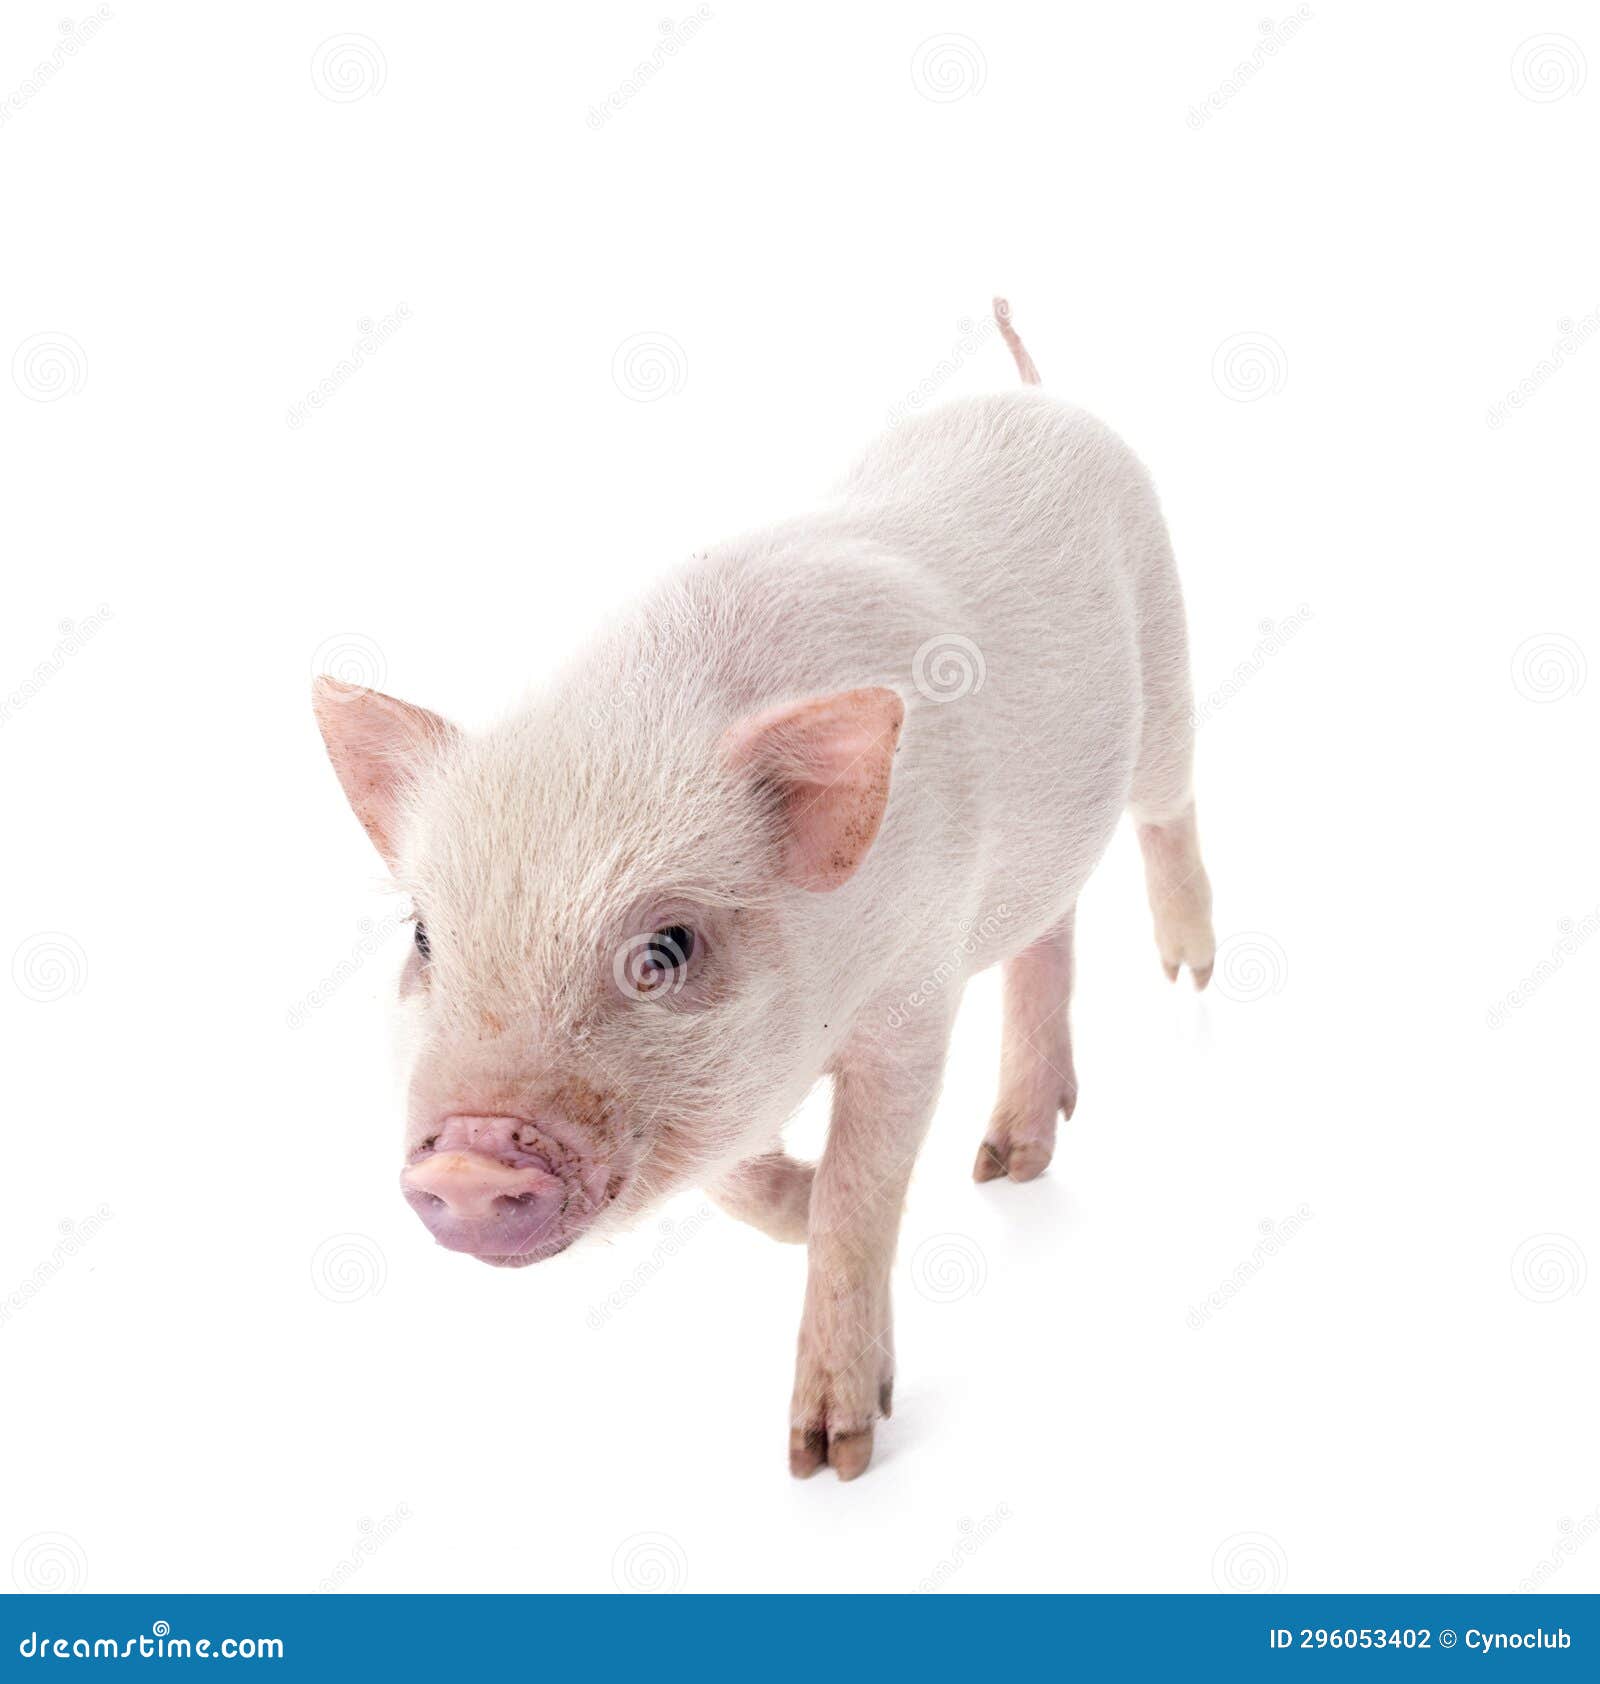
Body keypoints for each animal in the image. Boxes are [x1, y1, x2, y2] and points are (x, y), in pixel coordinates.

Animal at [311, 299, 1215, 1480]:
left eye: (667, 948)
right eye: (424, 939)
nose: (468, 1155)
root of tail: (1038, 398)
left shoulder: (916, 994)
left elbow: (866, 1191)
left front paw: (828, 1457)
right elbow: (733, 1168)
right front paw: (803, 1191)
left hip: (1168, 666)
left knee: (1167, 809)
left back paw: (1192, 973)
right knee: (1046, 930)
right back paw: (1007, 1163)